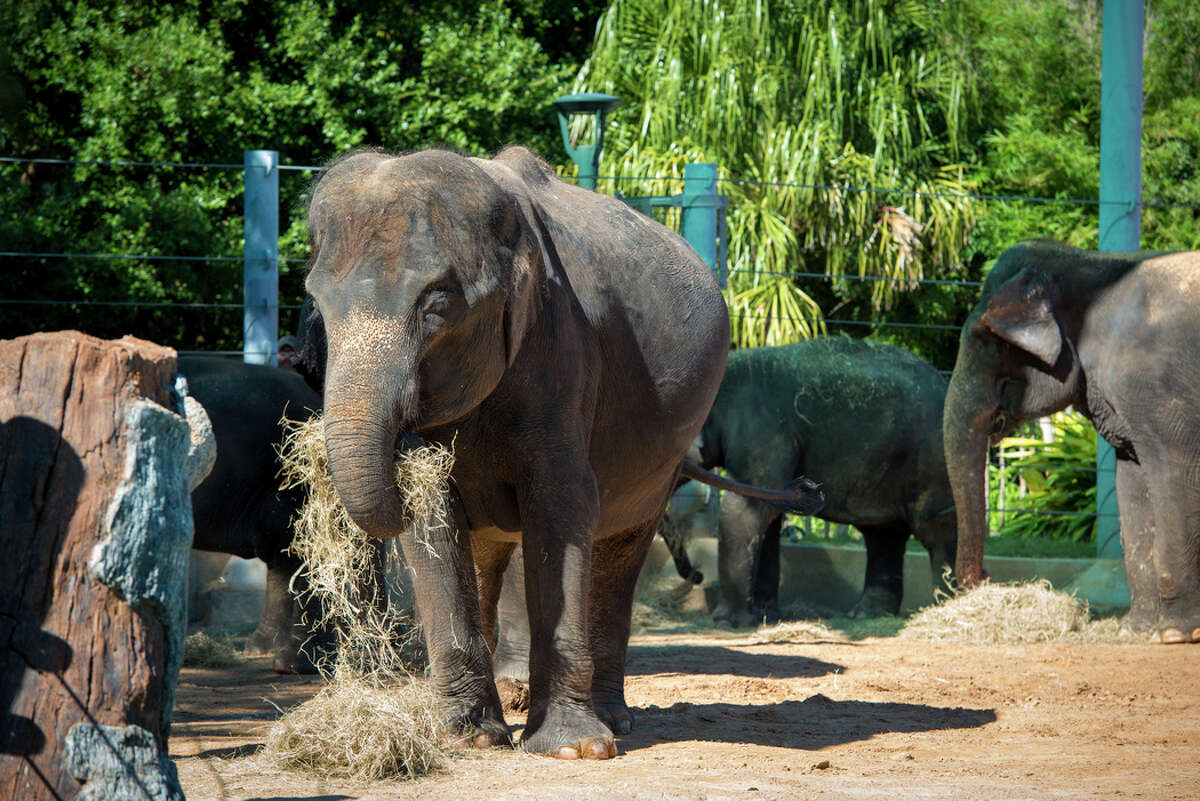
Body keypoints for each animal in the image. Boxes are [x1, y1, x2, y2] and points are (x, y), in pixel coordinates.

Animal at [299, 145, 823, 759]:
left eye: (437, 302)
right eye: (316, 304)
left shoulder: (562, 347)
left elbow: (563, 504)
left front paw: (574, 748)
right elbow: (431, 516)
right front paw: (467, 739)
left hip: (664, 459)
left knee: (621, 551)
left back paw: (613, 721)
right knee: (490, 553)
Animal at [677, 337, 956, 627]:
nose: (697, 576)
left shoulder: (762, 433)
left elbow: (744, 510)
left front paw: (729, 622)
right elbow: (768, 516)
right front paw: (767, 617)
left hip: (932, 462)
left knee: (936, 530)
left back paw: (945, 605)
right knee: (884, 534)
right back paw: (868, 615)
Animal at [944, 239, 1200, 645]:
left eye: (987, 344)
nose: (986, 577)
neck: (1091, 267)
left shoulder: (1163, 393)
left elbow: (1173, 475)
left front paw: (1175, 634)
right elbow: (1131, 486)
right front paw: (1135, 631)